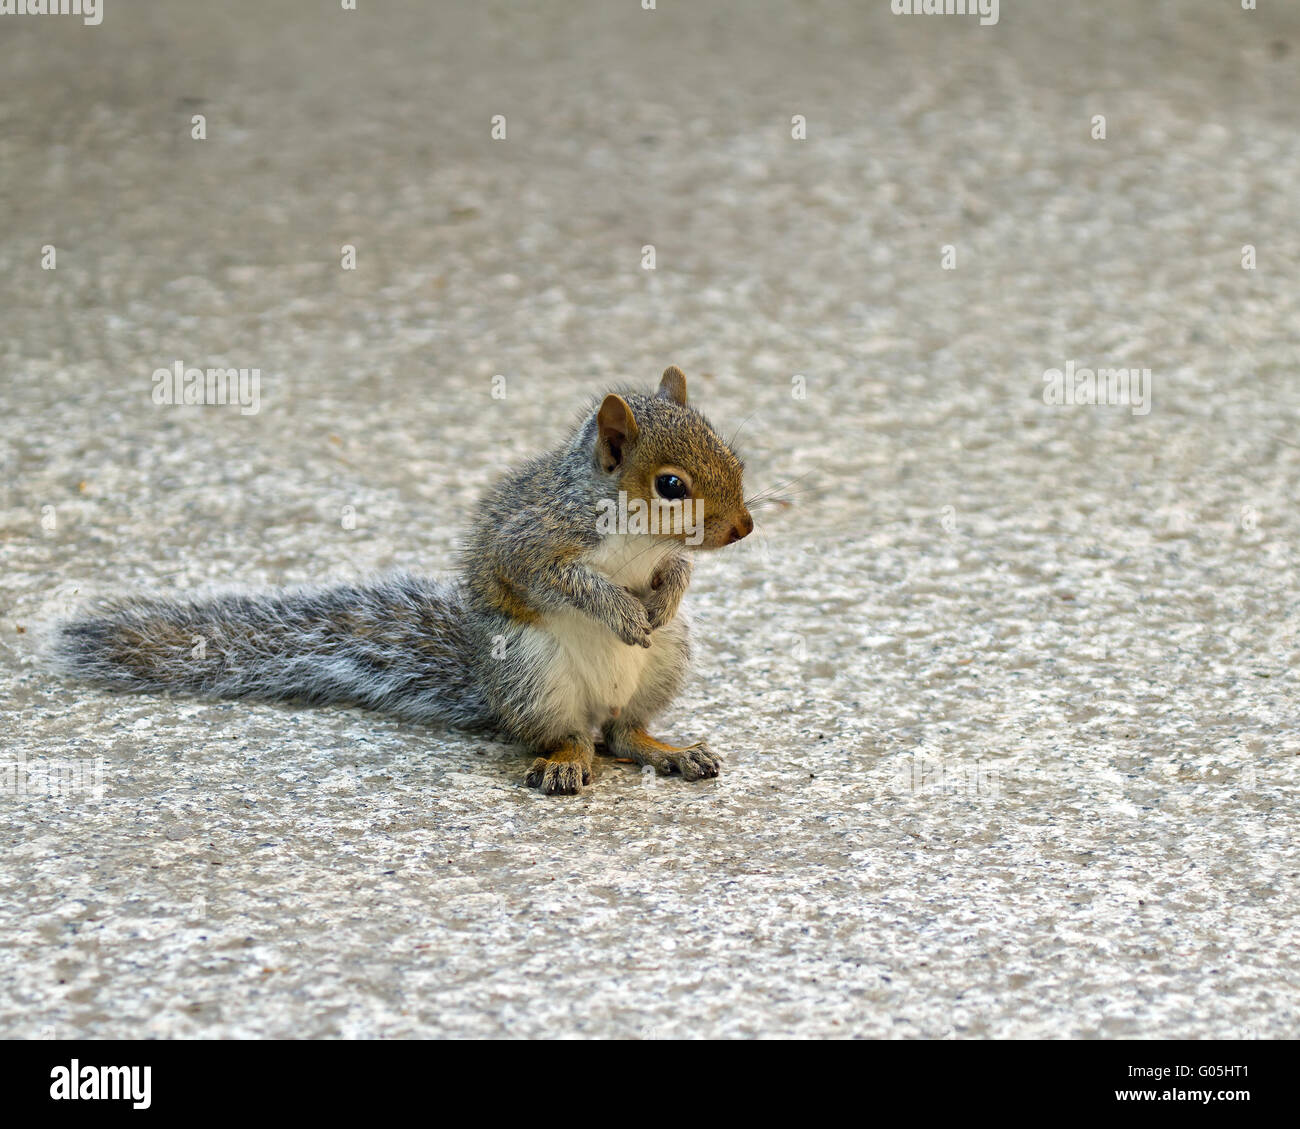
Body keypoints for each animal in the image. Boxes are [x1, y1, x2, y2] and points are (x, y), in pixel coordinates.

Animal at [52, 366, 754, 795]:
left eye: (734, 456)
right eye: (670, 485)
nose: (744, 527)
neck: (631, 534)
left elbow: (677, 567)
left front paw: (665, 595)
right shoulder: (532, 543)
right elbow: (557, 580)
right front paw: (621, 609)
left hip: (663, 662)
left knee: (623, 734)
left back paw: (669, 749)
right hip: (533, 676)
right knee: (573, 738)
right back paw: (565, 762)